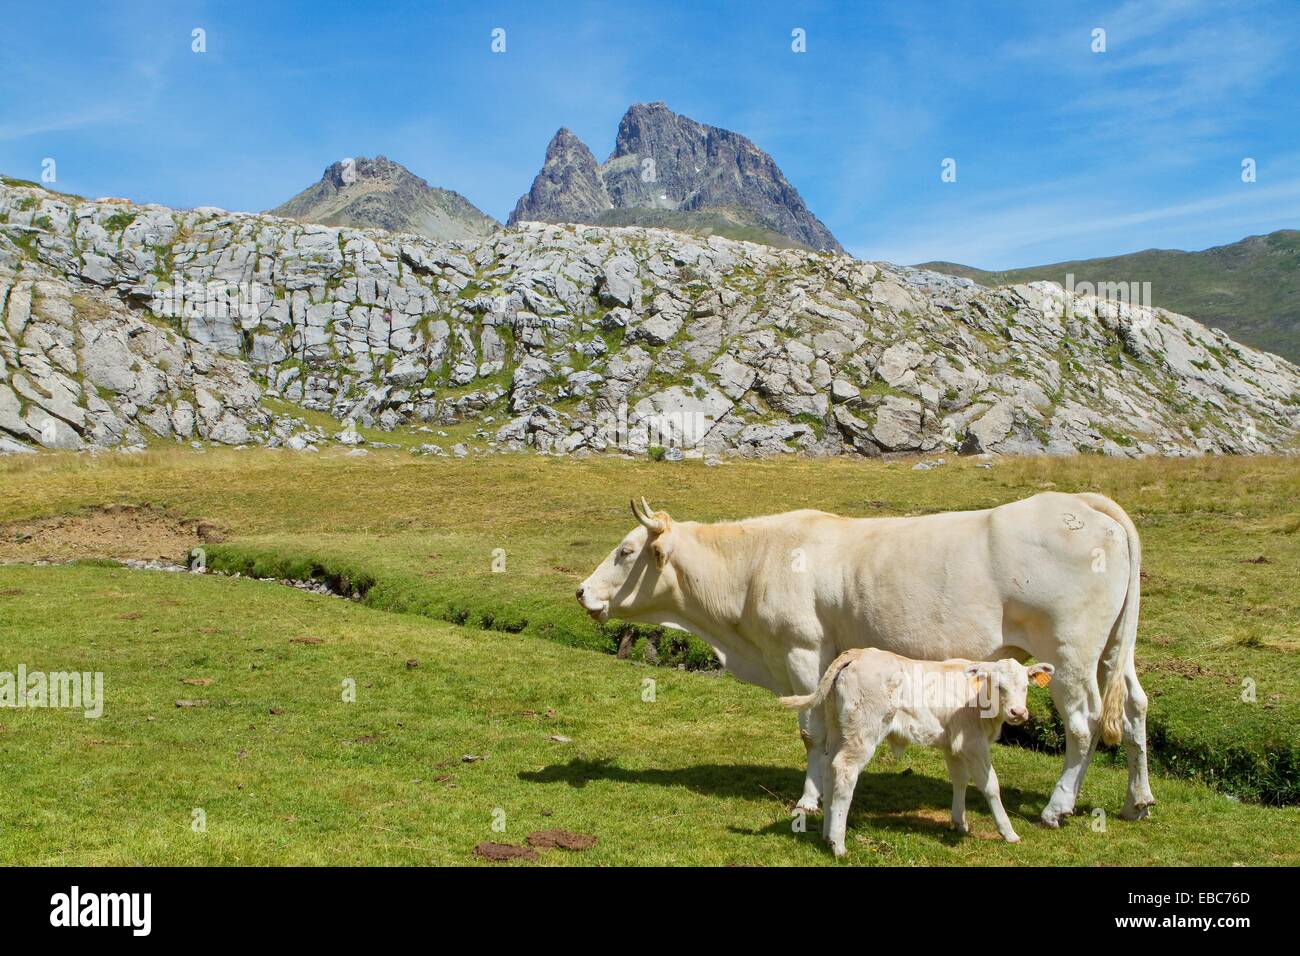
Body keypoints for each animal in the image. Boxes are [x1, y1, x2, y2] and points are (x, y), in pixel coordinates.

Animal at [576, 493, 1154, 828]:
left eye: (625, 551)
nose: (581, 591)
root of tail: (1081, 502)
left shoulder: (803, 652)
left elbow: (811, 732)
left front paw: (809, 802)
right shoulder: (832, 659)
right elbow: (831, 733)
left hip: (1069, 653)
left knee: (1083, 725)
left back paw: (1058, 807)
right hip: (1113, 651)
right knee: (1133, 711)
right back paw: (1137, 801)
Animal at [782, 647, 1055, 855]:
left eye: (1026, 686)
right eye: (998, 686)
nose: (1018, 712)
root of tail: (858, 653)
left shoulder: (953, 746)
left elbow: (960, 780)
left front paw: (960, 822)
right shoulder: (974, 744)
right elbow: (990, 786)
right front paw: (1008, 832)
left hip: (839, 729)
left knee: (829, 767)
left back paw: (827, 835)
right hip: (863, 732)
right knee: (844, 770)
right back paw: (838, 845)